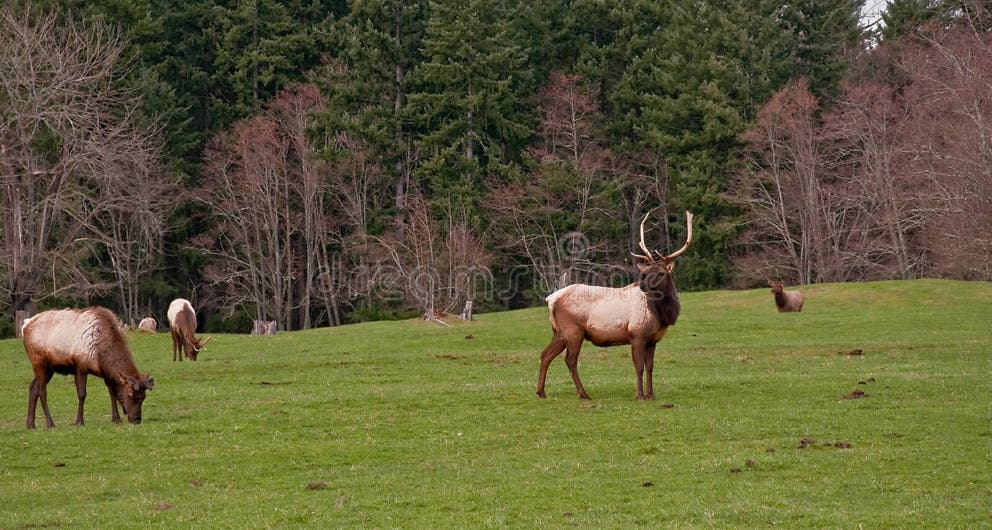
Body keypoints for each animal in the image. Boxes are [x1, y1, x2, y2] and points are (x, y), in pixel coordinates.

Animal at [23, 307, 155, 428]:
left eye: (144, 397)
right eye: (130, 395)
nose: (137, 419)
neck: (101, 355)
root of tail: (24, 326)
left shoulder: (106, 373)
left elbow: (112, 393)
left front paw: (116, 419)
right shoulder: (80, 367)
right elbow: (82, 394)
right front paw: (79, 421)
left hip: (49, 368)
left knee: (33, 387)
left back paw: (30, 424)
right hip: (38, 362)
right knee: (42, 391)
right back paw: (50, 423)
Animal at [536, 210, 693, 400]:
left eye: (661, 273)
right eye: (646, 271)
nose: (642, 285)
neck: (661, 315)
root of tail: (551, 299)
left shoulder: (653, 339)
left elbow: (650, 367)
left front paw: (651, 395)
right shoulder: (636, 334)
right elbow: (639, 367)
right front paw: (640, 396)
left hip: (559, 332)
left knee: (546, 354)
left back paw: (541, 392)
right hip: (573, 330)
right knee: (570, 360)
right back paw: (584, 394)